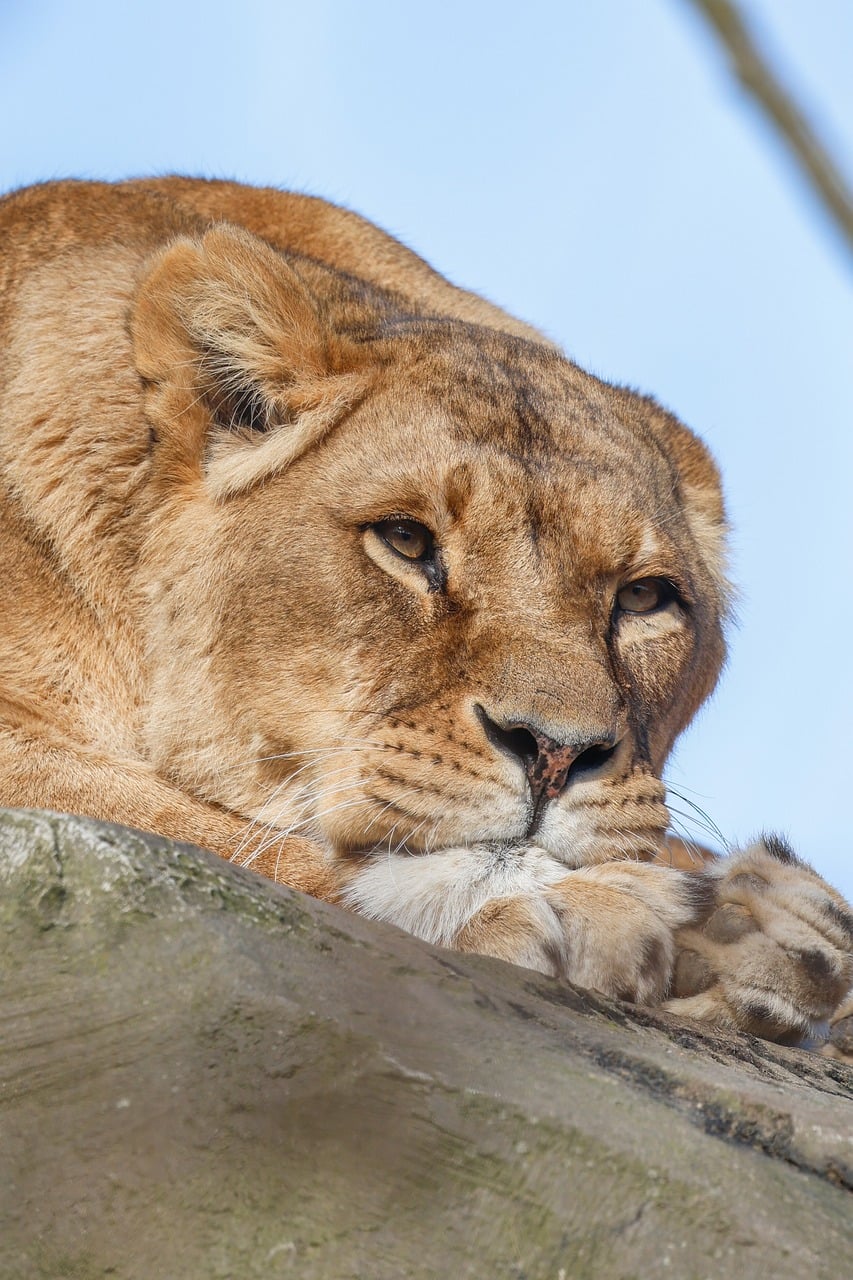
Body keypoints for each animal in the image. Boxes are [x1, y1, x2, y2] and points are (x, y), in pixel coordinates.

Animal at [0, 176, 850, 1047]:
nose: (554, 754)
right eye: (406, 541)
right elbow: (226, 836)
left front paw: (760, 926)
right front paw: (623, 915)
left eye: (643, 597)